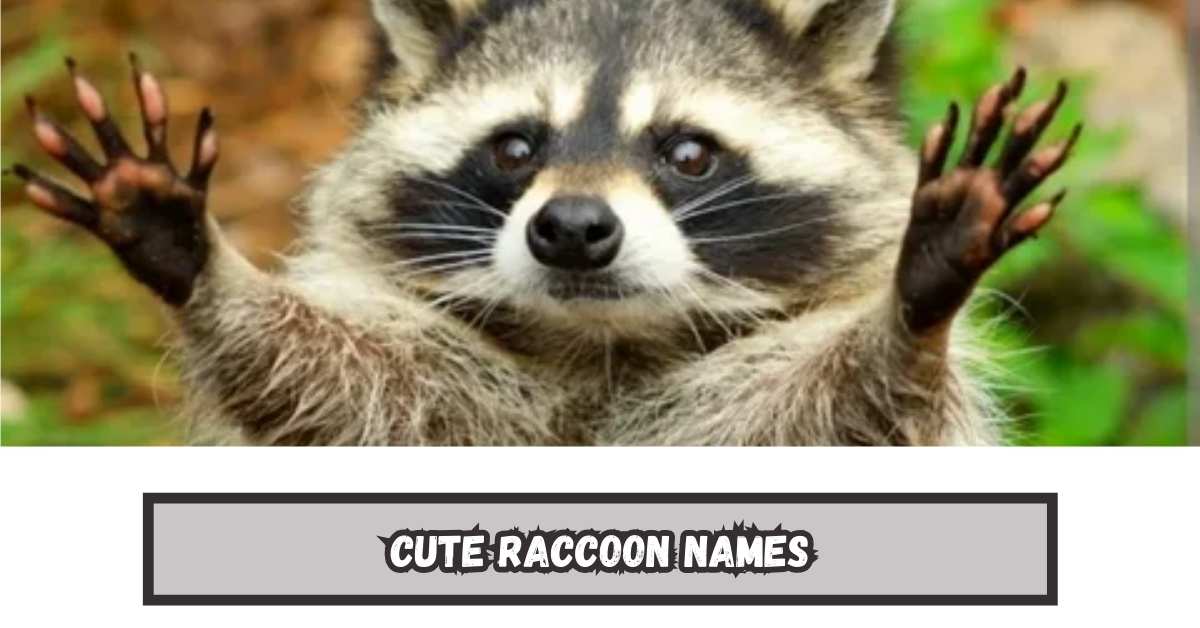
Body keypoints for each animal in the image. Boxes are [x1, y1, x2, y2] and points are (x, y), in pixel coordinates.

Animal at [13, 0, 1080, 445]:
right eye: (517, 147)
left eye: (687, 154)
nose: (570, 228)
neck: (599, 345)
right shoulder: (433, 390)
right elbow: (319, 381)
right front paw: (206, 270)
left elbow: (853, 405)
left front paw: (913, 310)